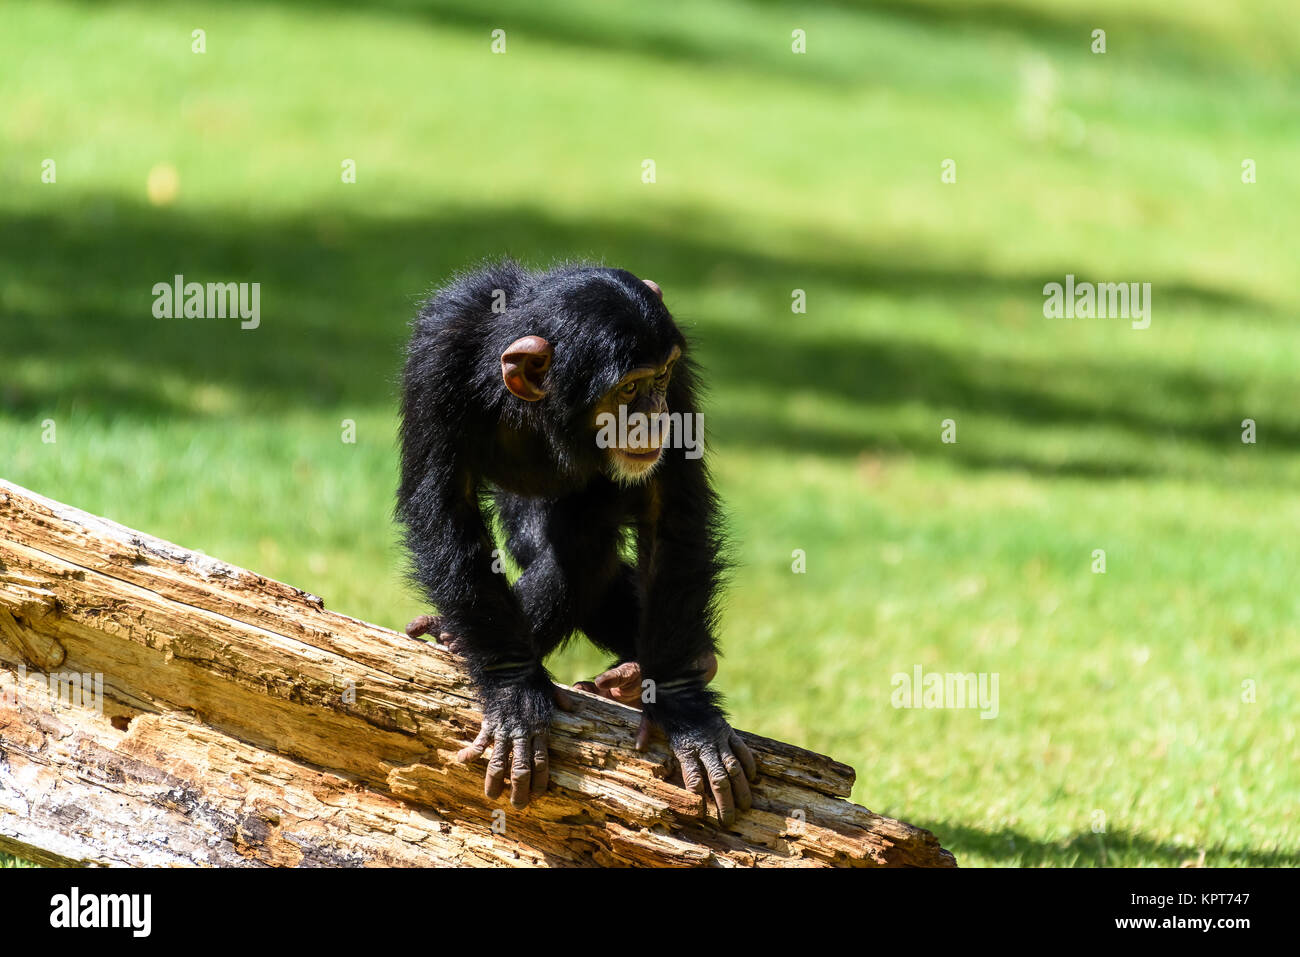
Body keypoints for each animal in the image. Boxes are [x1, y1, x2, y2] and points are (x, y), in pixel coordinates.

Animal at [397, 260, 756, 823]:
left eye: (659, 378)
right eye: (627, 391)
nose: (655, 413)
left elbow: (671, 514)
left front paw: (683, 705)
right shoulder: (438, 360)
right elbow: (444, 505)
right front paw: (513, 688)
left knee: (581, 546)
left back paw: (654, 671)